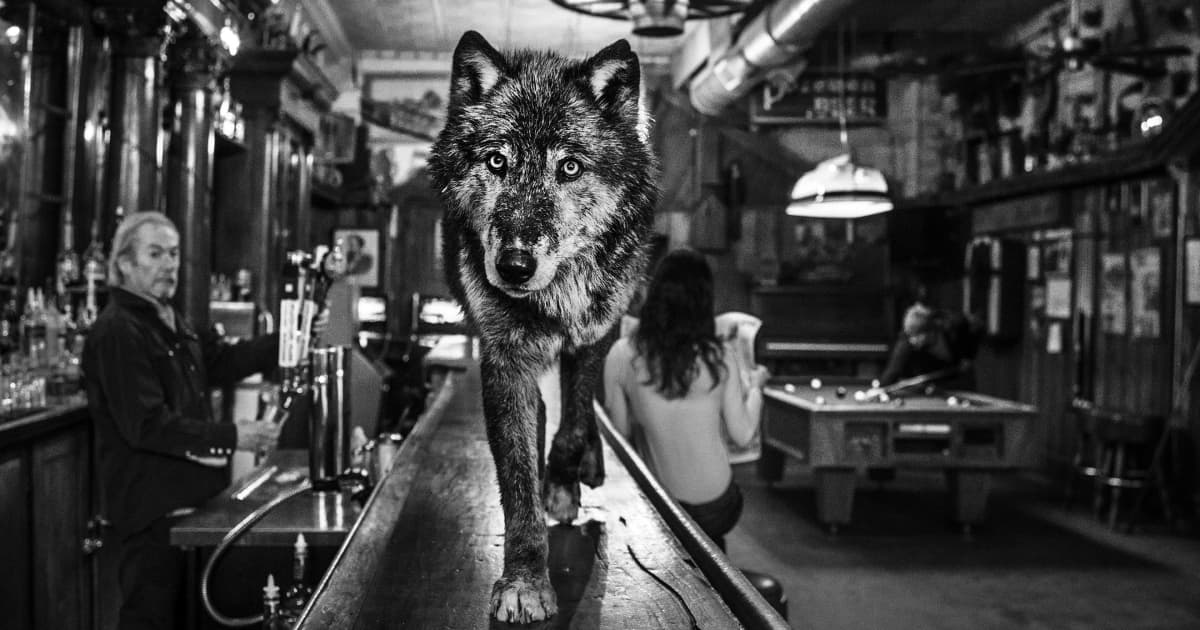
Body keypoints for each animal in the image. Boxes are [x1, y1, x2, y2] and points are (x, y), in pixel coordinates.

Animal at [427, 30, 659, 623]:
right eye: (497, 160)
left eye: (570, 168)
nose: (513, 266)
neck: (554, 299)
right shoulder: (504, 361)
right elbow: (516, 484)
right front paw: (526, 581)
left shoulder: (595, 336)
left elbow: (575, 421)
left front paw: (561, 480)